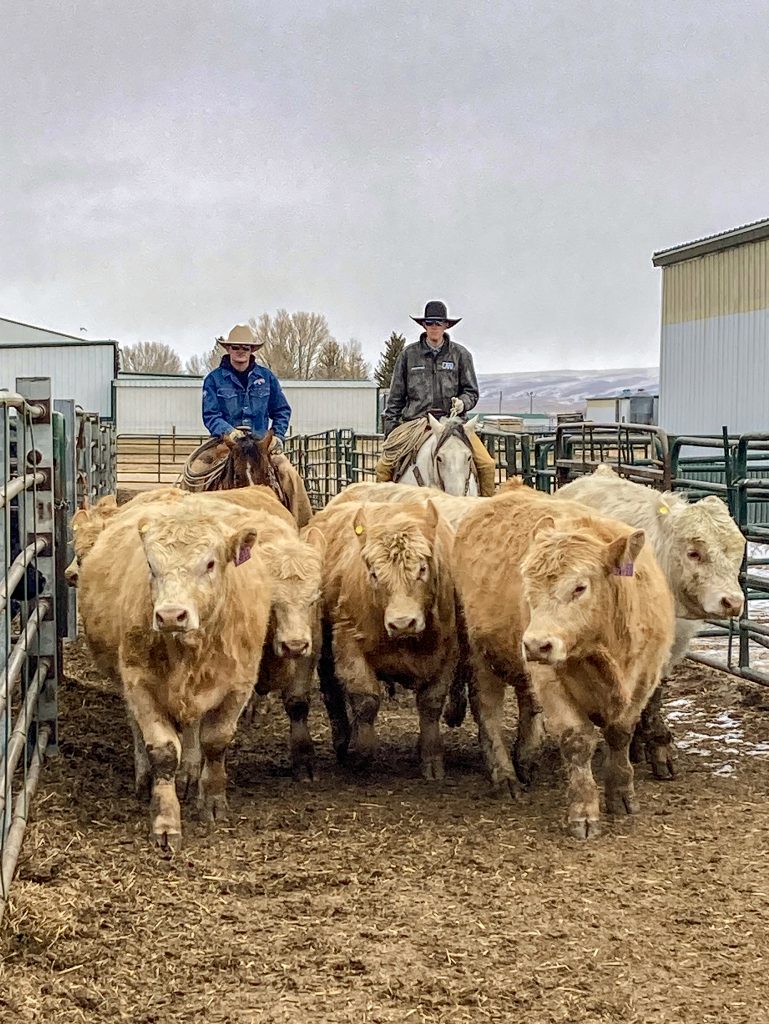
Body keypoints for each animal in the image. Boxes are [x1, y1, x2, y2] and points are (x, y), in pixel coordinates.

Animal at [77, 497, 273, 850]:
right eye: (151, 566)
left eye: (210, 563)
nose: (170, 615)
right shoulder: (139, 682)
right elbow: (164, 751)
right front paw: (165, 820)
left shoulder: (239, 685)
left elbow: (215, 742)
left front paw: (212, 801)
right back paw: (145, 776)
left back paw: (190, 772)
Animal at [313, 500, 458, 780]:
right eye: (374, 573)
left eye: (422, 569)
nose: (402, 623)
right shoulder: (349, 643)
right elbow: (366, 701)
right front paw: (362, 753)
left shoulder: (447, 650)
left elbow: (431, 704)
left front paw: (431, 757)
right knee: (331, 691)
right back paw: (342, 740)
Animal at [451, 482, 675, 838]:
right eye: (527, 584)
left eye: (580, 587)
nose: (535, 644)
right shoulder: (551, 681)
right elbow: (577, 740)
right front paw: (584, 812)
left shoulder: (644, 677)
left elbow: (621, 733)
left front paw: (622, 794)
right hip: (478, 651)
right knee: (488, 710)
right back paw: (505, 776)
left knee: (526, 702)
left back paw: (526, 758)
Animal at [554, 465, 745, 776]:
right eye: (694, 552)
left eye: (737, 551)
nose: (733, 602)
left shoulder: (674, 644)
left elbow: (653, 694)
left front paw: (654, 745)